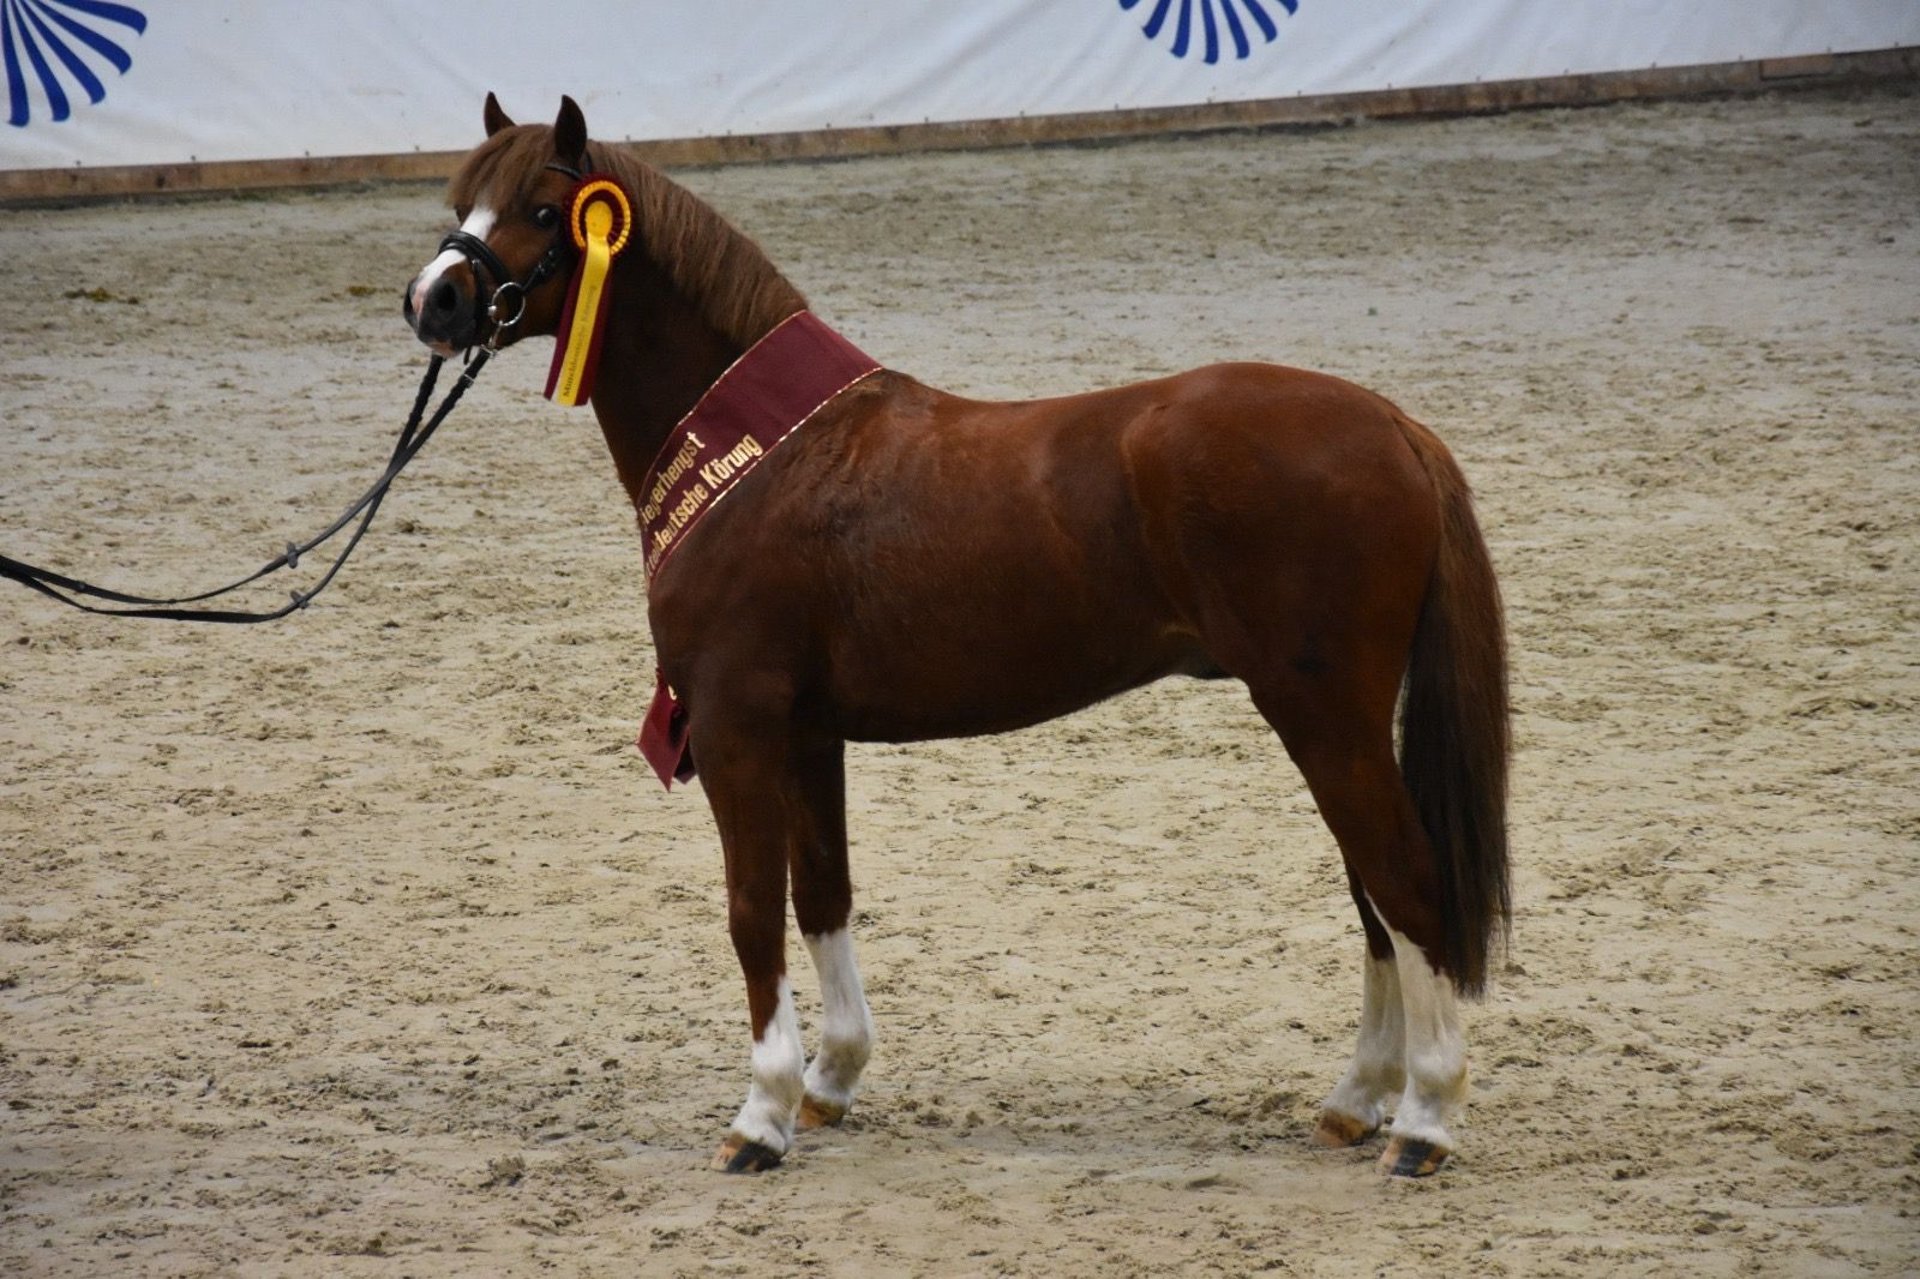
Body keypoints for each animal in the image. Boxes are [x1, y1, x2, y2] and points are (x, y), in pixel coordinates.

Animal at [403, 95, 1510, 1179]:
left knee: (1406, 887)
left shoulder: (732, 725)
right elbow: (825, 895)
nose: (433, 301)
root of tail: (1394, 426)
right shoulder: (808, 733)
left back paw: (1423, 1123)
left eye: (543, 211)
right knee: (1373, 896)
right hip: (1331, 722)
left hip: (1325, 718)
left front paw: (761, 1116)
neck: (765, 462)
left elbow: (752, 909)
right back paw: (1357, 1100)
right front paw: (830, 1080)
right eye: (462, 200)